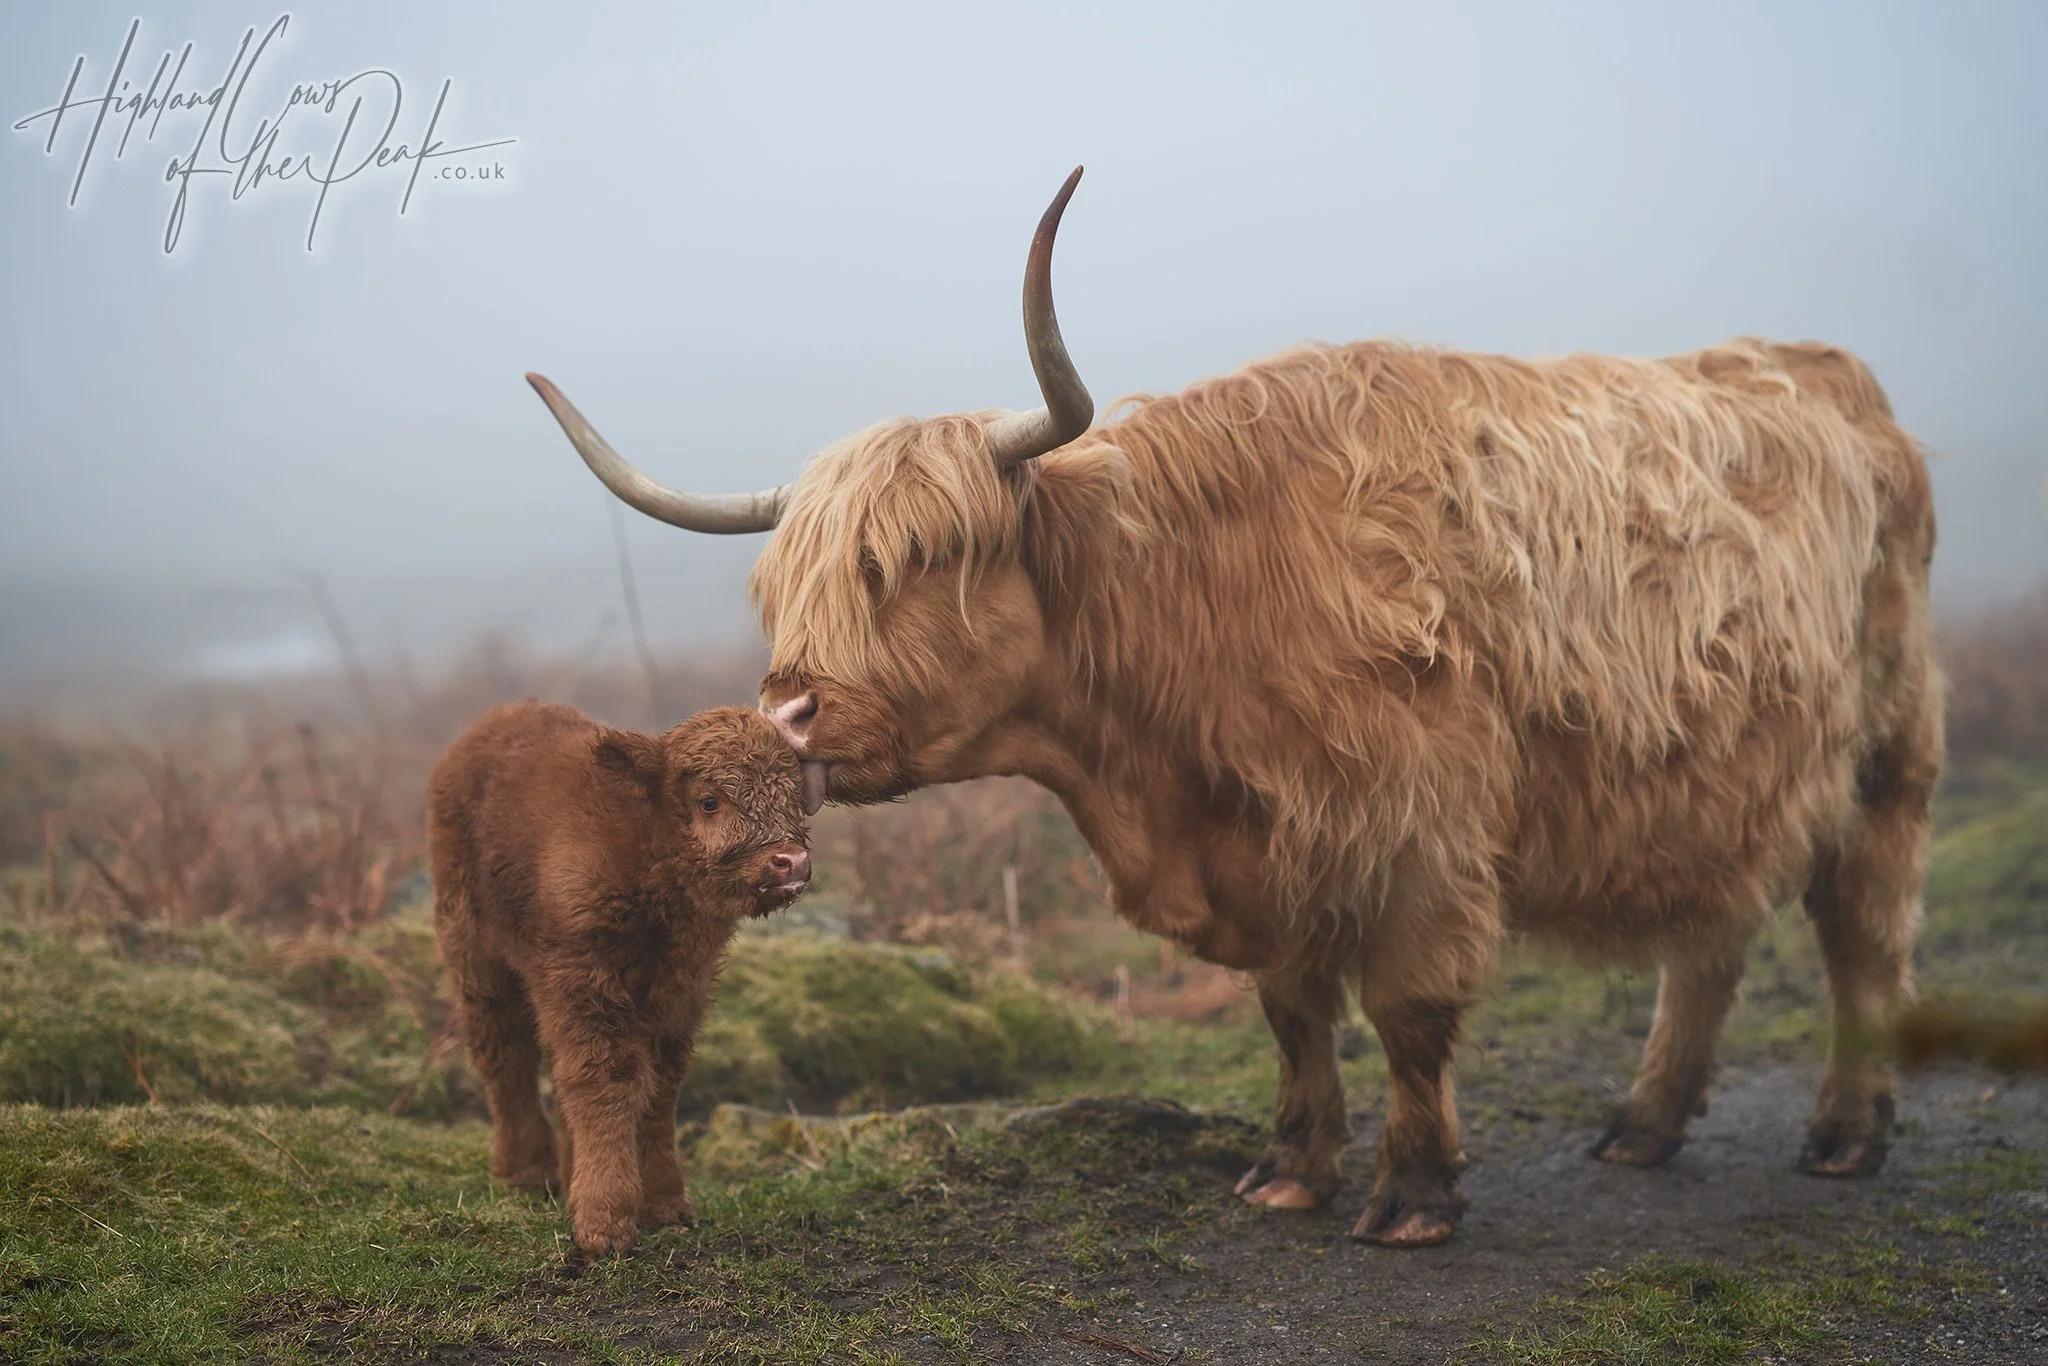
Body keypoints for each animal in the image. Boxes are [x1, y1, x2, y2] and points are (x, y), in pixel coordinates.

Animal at [428, 701, 812, 1255]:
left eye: (797, 796)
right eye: (709, 801)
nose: (791, 863)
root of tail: (497, 719)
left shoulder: (680, 994)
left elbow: (658, 1090)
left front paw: (664, 1205)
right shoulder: (582, 980)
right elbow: (605, 1081)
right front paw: (603, 1223)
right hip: (476, 960)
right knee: (506, 1059)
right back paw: (526, 1172)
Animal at [524, 168, 1941, 1247]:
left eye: (920, 556)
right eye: (781, 585)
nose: (788, 716)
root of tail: (1814, 369)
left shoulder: (1418, 834)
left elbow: (1406, 1014)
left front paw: (1410, 1196)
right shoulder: (1273, 848)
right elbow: (1292, 1011)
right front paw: (1288, 1174)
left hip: (1885, 755)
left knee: (1862, 934)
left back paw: (1843, 1136)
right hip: (1727, 774)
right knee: (1711, 937)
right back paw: (1642, 1128)